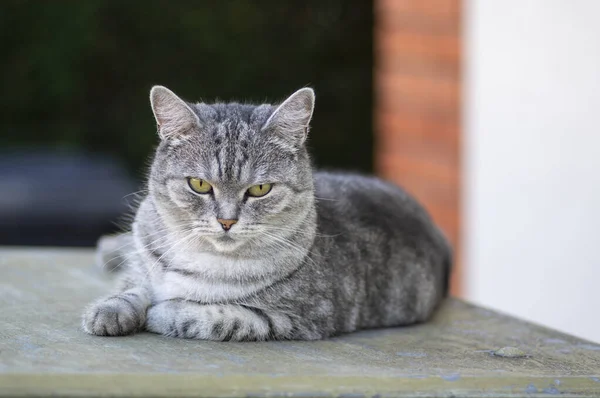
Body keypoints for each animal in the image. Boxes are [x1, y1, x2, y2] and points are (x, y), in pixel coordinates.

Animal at [82, 85, 452, 340]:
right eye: (199, 184)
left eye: (260, 189)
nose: (227, 221)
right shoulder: (144, 261)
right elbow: (132, 287)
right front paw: (110, 309)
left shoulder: (298, 318)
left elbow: (216, 317)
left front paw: (162, 312)